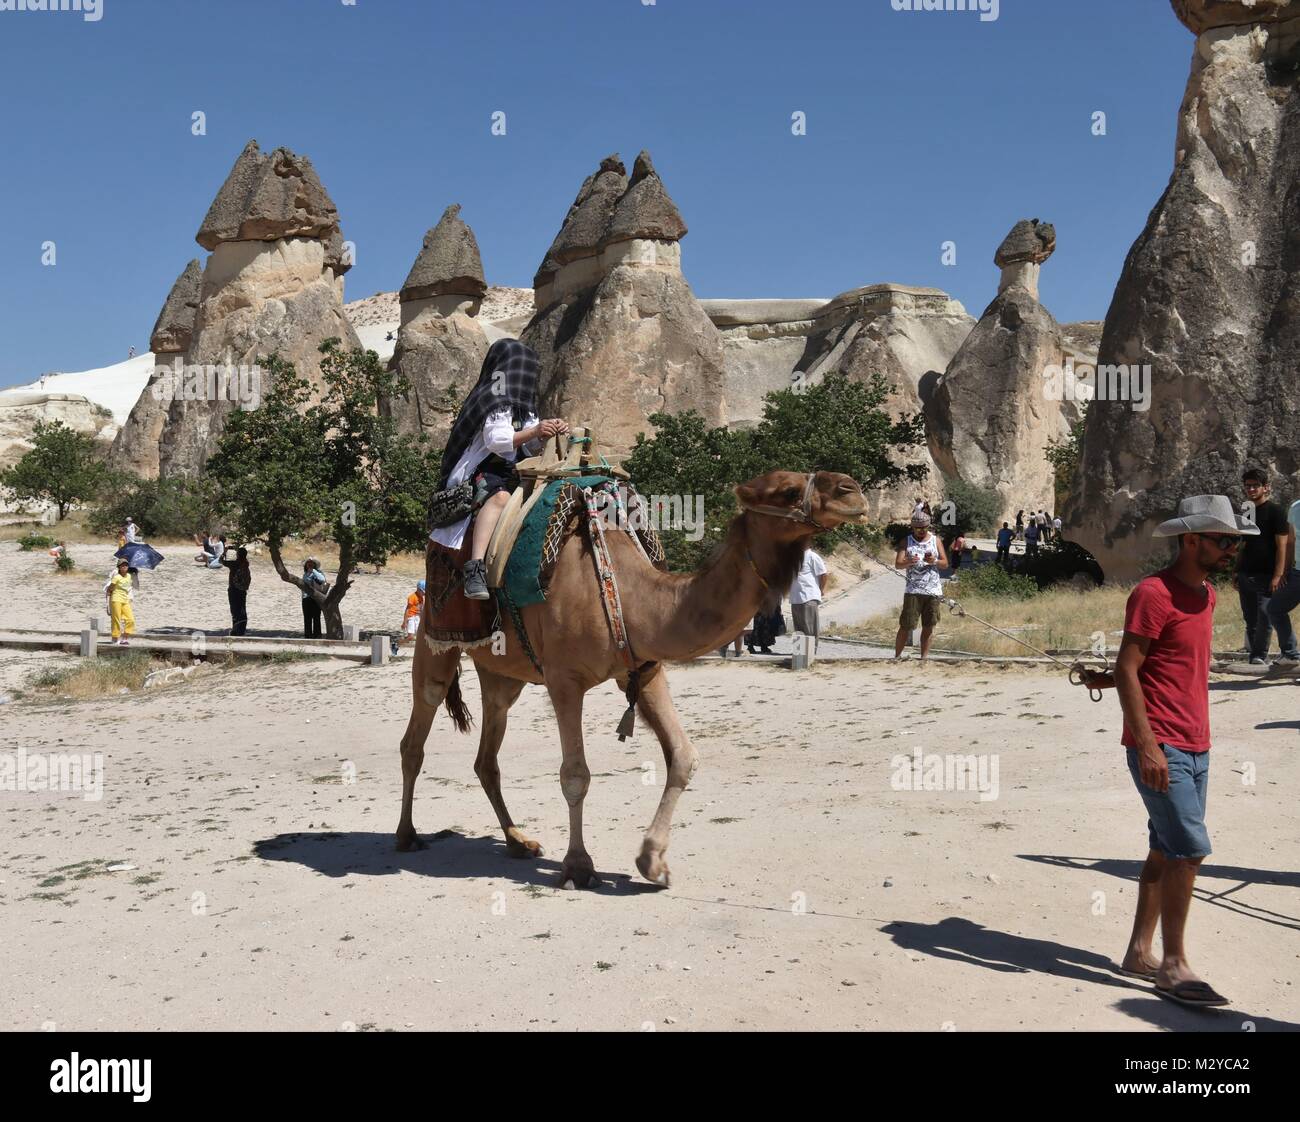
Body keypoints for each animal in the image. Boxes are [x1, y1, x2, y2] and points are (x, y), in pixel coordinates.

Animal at [395, 469, 869, 887]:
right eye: (787, 490)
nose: (854, 491)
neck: (629, 592)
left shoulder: (644, 668)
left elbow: (683, 756)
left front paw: (652, 862)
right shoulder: (564, 679)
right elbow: (575, 774)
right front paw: (579, 866)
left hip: (501, 671)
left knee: (487, 753)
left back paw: (517, 841)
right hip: (435, 638)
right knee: (416, 736)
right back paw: (406, 835)